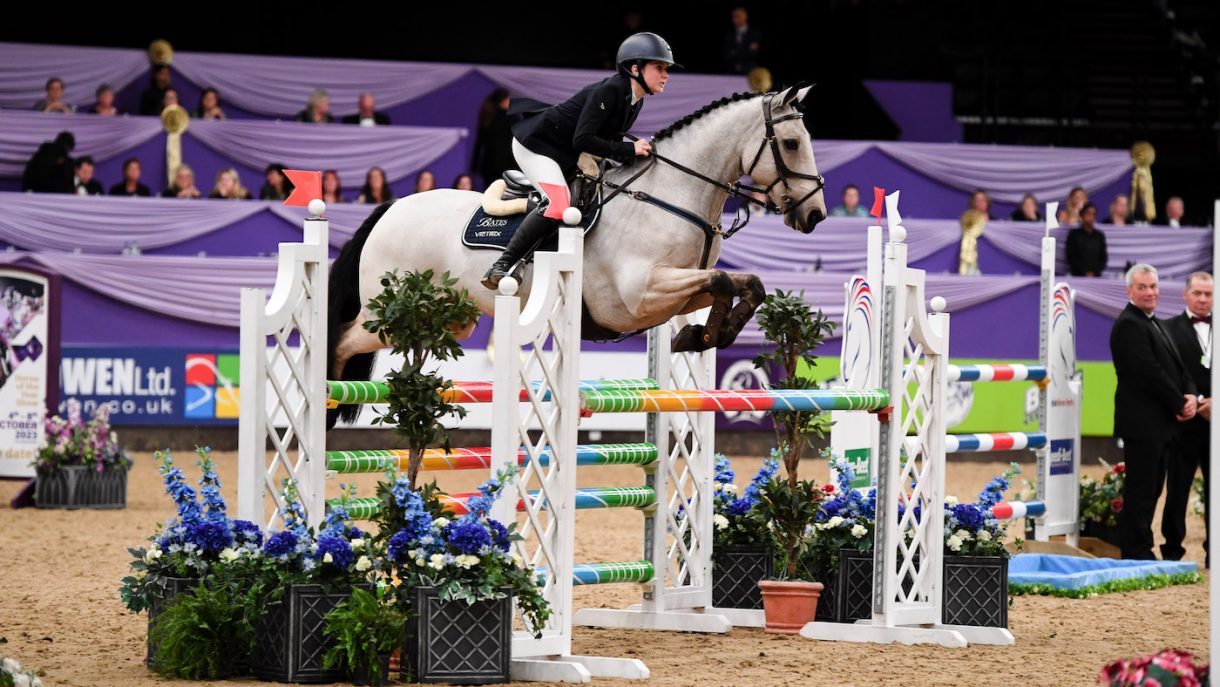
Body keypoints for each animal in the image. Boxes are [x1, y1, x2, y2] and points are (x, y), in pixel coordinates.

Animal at [328, 84, 826, 424]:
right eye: (791, 144)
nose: (816, 215)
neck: (672, 195)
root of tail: (392, 207)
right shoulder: (638, 297)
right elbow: (723, 280)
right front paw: (701, 335)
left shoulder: (678, 290)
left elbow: (745, 284)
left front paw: (702, 335)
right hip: (389, 312)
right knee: (344, 339)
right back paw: (326, 403)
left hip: (446, 318)